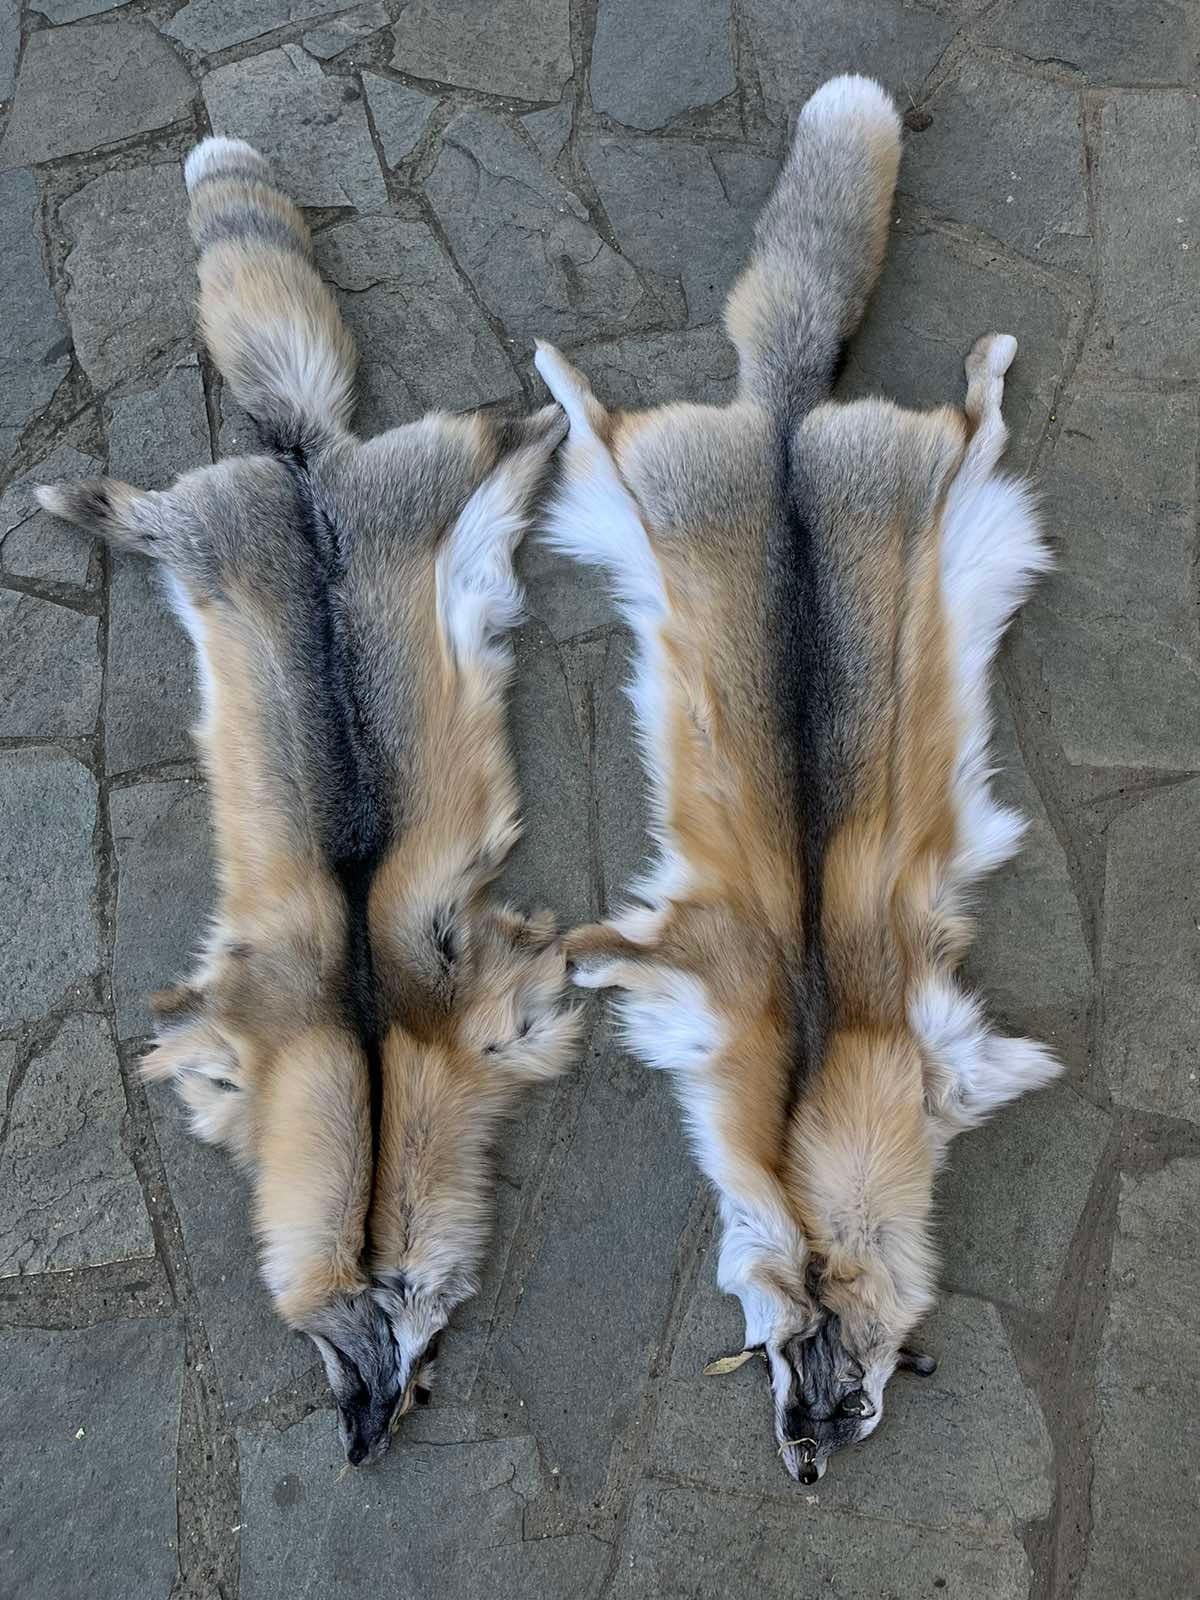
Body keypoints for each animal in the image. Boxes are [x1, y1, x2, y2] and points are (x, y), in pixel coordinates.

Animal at [38, 137, 581, 1466]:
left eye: (417, 1349)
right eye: (349, 1340)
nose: (363, 1447)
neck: (373, 1034)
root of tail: (305, 467)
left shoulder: (467, 1000)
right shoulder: (286, 1005)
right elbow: (185, 1034)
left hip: (418, 495)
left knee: (496, 429)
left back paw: (554, 408)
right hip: (230, 527)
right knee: (150, 506)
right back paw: (73, 501)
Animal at [534, 75, 1060, 1482]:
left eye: (852, 1385)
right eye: (803, 1360)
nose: (815, 1464)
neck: (812, 1073)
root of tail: (783, 425)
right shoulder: (708, 952)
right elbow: (585, 944)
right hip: (745, 487)